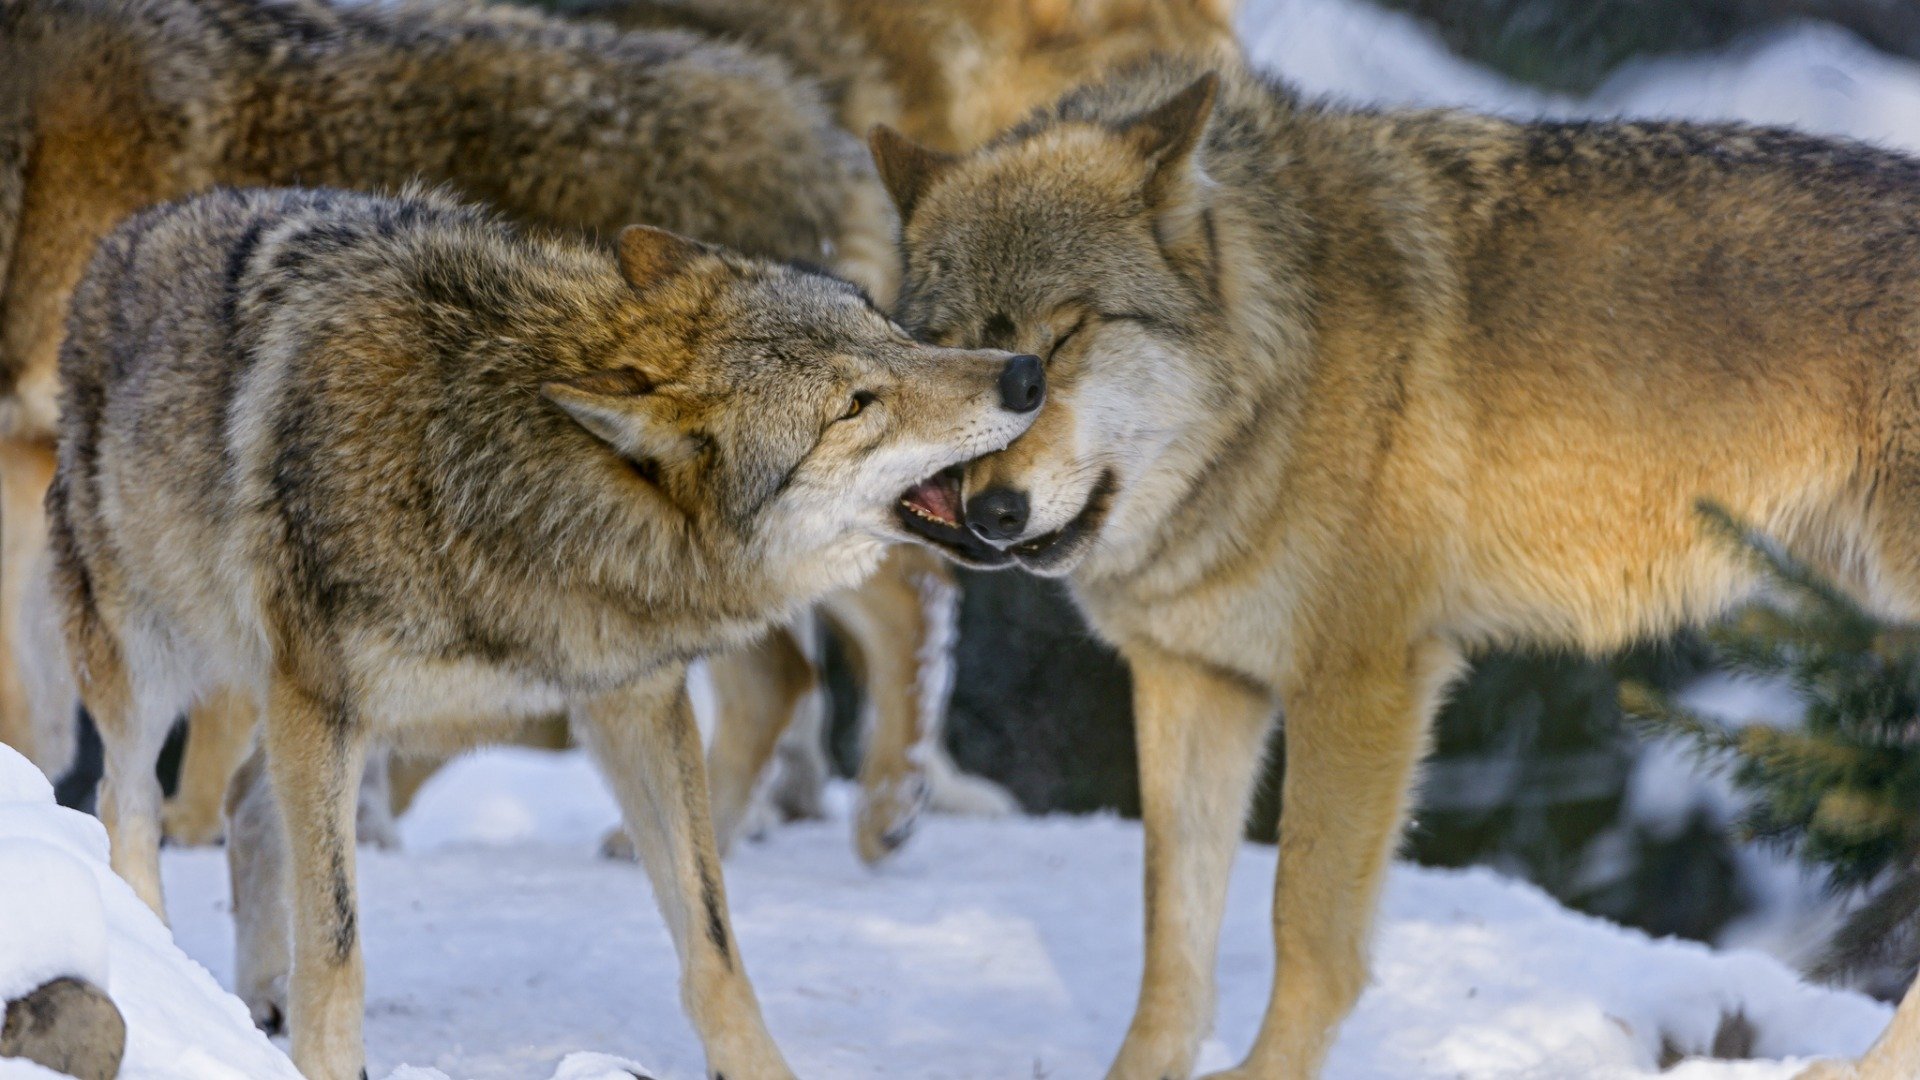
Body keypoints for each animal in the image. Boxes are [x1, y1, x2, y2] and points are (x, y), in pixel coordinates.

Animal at [49, 185, 1041, 1080]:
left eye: (889, 331)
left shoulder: (636, 705)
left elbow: (713, 939)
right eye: (856, 405)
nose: (1026, 373)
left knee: (247, 810)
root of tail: (123, 234)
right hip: (153, 661)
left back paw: (256, 1005)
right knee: (126, 803)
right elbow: (337, 943)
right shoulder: (324, 706)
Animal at [876, 52, 1920, 1080]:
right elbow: (1171, 940)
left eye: (1061, 341)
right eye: (958, 358)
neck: (1278, 385)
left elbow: (1305, 929)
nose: (992, 515)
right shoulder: (1192, 677)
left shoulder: (1361, 679)